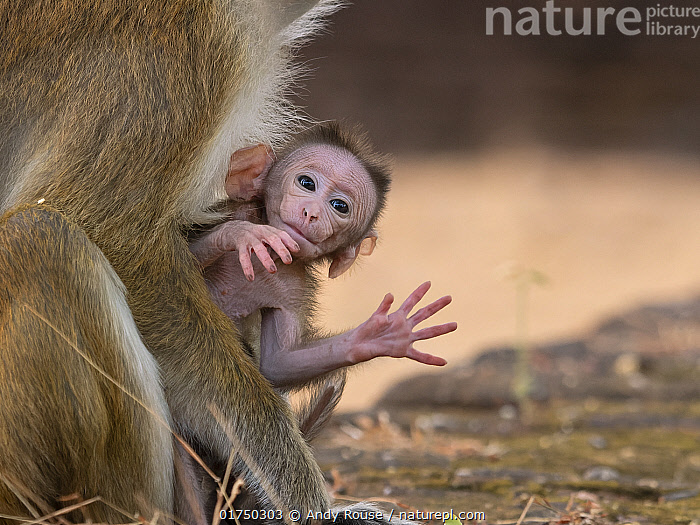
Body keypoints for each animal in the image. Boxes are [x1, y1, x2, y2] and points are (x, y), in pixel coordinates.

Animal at [0, 1, 427, 524]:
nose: (310, 214)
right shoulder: (183, 50)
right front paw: (307, 505)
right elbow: (104, 227)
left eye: (340, 205)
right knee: (40, 236)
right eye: (306, 183)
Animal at [189, 123, 455, 391]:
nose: (312, 213)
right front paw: (243, 234)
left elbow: (278, 363)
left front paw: (380, 336)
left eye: (340, 206)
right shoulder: (235, 212)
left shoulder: (293, 286)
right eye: (306, 183)